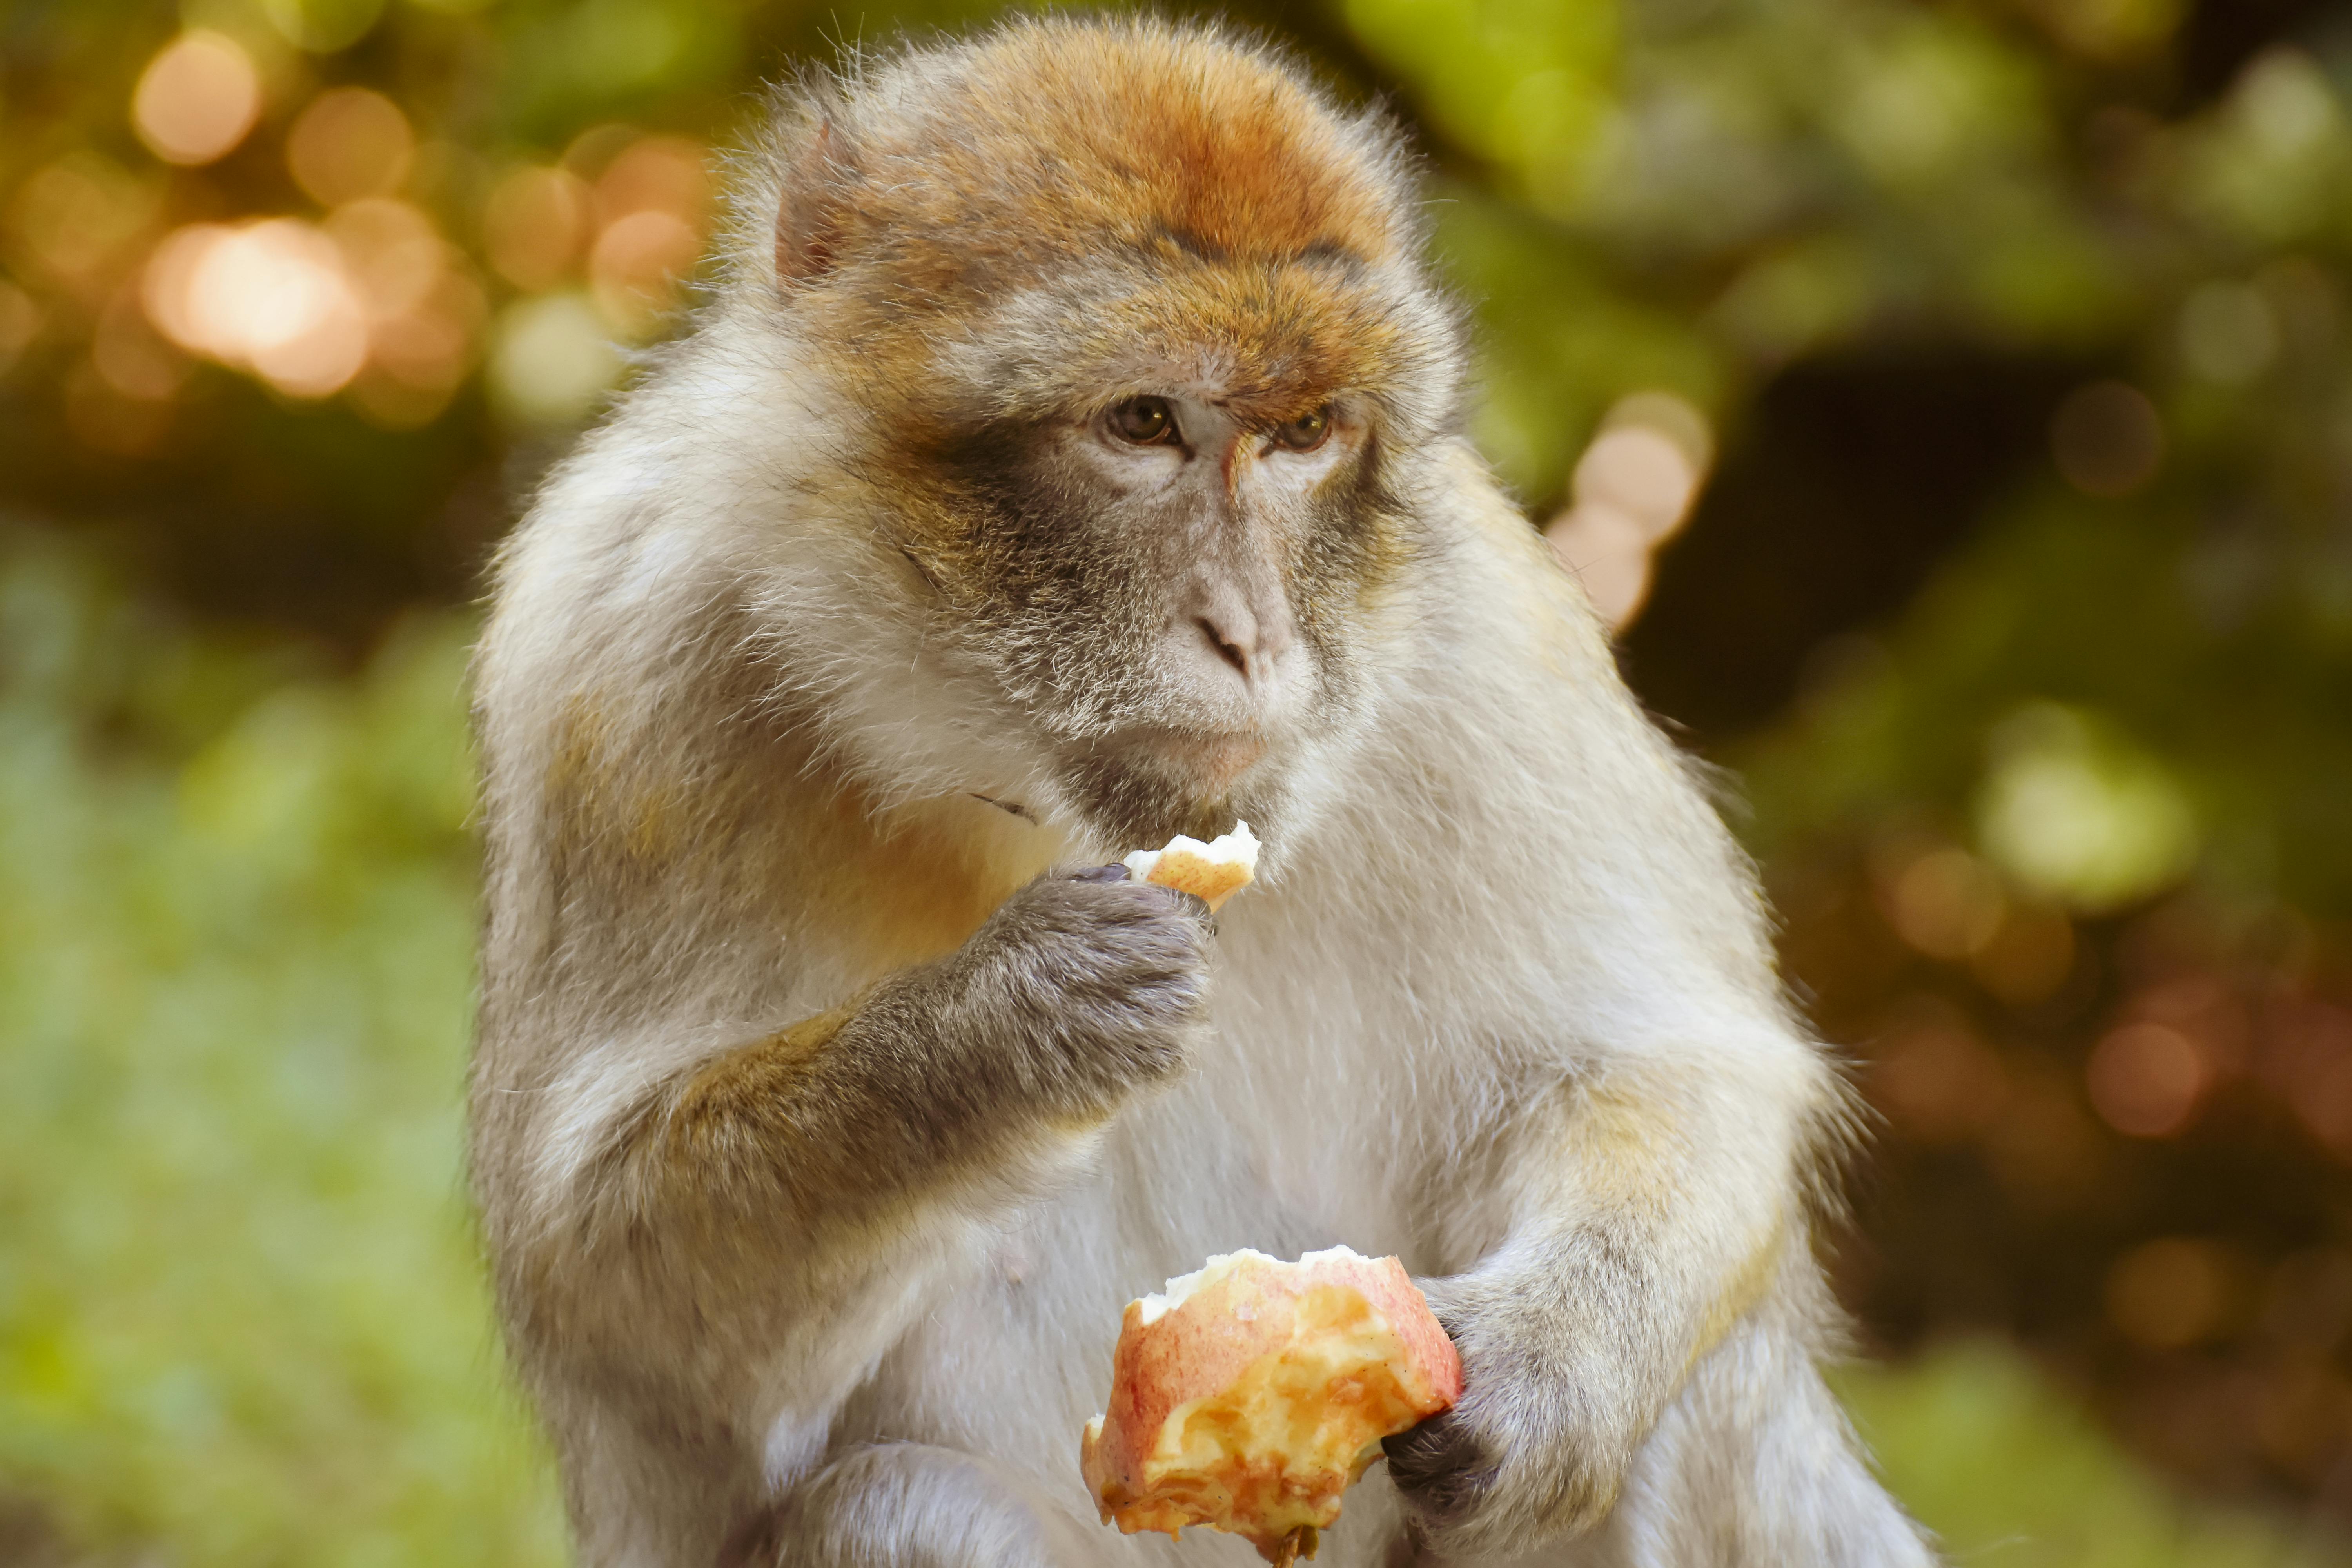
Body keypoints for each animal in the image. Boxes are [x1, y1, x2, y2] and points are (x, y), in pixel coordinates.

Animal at [467, 16, 1937, 1568]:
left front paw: (1545, 1374)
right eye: (1142, 421)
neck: (1003, 782)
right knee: (895, 1506)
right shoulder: (615, 650)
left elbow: (1674, 1062)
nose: (1251, 634)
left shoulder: (1489, 639)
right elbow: (614, 1318)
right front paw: (1003, 1025)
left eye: (1303, 433)